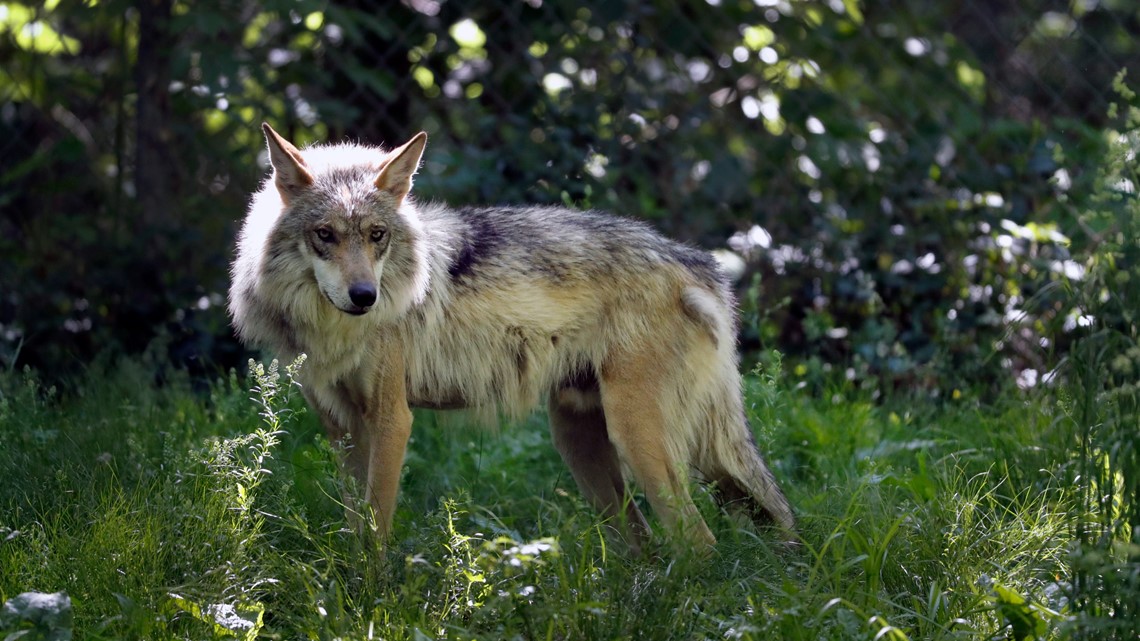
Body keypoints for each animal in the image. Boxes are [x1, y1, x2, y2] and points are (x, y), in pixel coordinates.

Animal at [229, 123, 795, 553]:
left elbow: (377, 534)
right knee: (646, 544)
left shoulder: (392, 420)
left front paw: (372, 603)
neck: (334, 331)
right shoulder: (342, 429)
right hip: (583, 446)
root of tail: (698, 263)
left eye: (376, 236)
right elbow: (355, 533)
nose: (365, 295)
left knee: (699, 543)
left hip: (641, 442)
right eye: (325, 235)